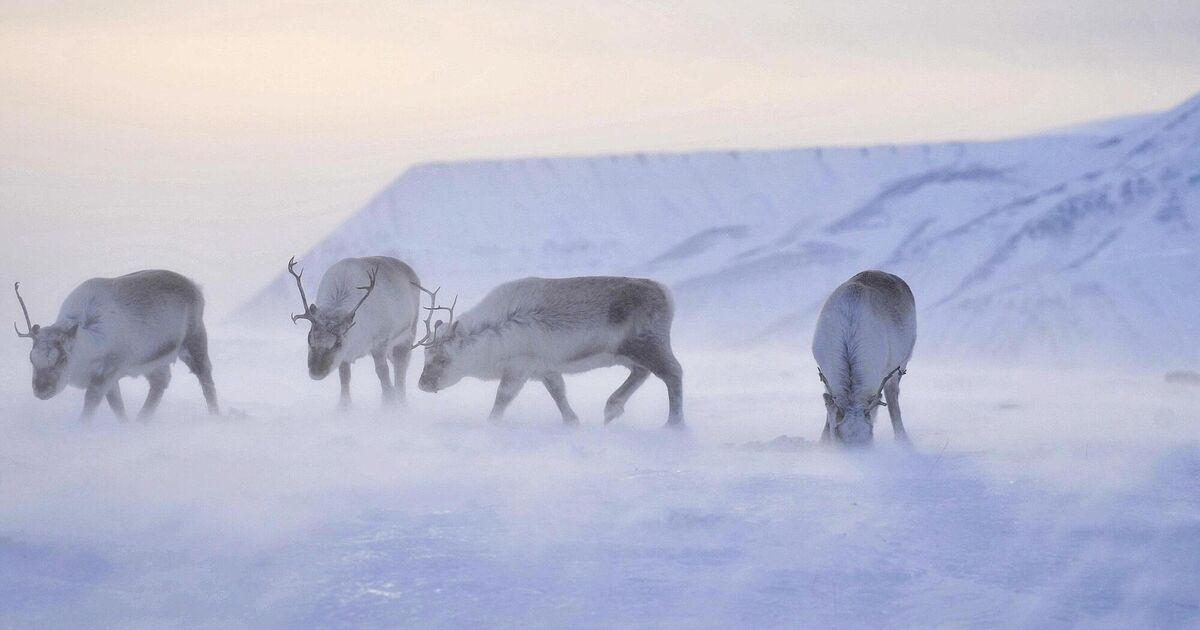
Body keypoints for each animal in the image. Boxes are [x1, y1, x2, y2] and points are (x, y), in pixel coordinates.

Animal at [12, 271, 219, 421]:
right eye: (31, 358)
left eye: (62, 358)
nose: (41, 390)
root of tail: (196, 287)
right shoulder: (110, 377)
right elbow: (117, 407)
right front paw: (124, 424)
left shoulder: (107, 374)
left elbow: (90, 407)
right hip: (153, 361)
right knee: (161, 381)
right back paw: (141, 420)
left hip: (194, 339)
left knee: (205, 377)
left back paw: (215, 415)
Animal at [286, 256, 424, 408]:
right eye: (309, 339)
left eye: (338, 343)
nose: (316, 373)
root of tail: (410, 270)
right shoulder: (345, 355)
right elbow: (344, 378)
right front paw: (343, 406)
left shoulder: (380, 343)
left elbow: (383, 372)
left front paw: (389, 403)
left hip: (406, 335)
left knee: (400, 370)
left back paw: (402, 401)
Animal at [414, 276, 684, 427]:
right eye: (425, 357)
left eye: (443, 359)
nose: (422, 384)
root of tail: (668, 295)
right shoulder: (545, 368)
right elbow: (558, 394)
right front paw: (572, 422)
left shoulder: (519, 367)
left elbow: (502, 397)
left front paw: (491, 424)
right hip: (628, 353)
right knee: (641, 372)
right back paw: (611, 409)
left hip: (648, 344)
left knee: (673, 373)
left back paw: (674, 424)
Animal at [811, 270, 916, 446]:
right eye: (838, 437)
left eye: (869, 439)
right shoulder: (825, 375)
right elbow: (829, 411)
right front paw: (823, 443)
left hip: (901, 366)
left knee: (893, 398)